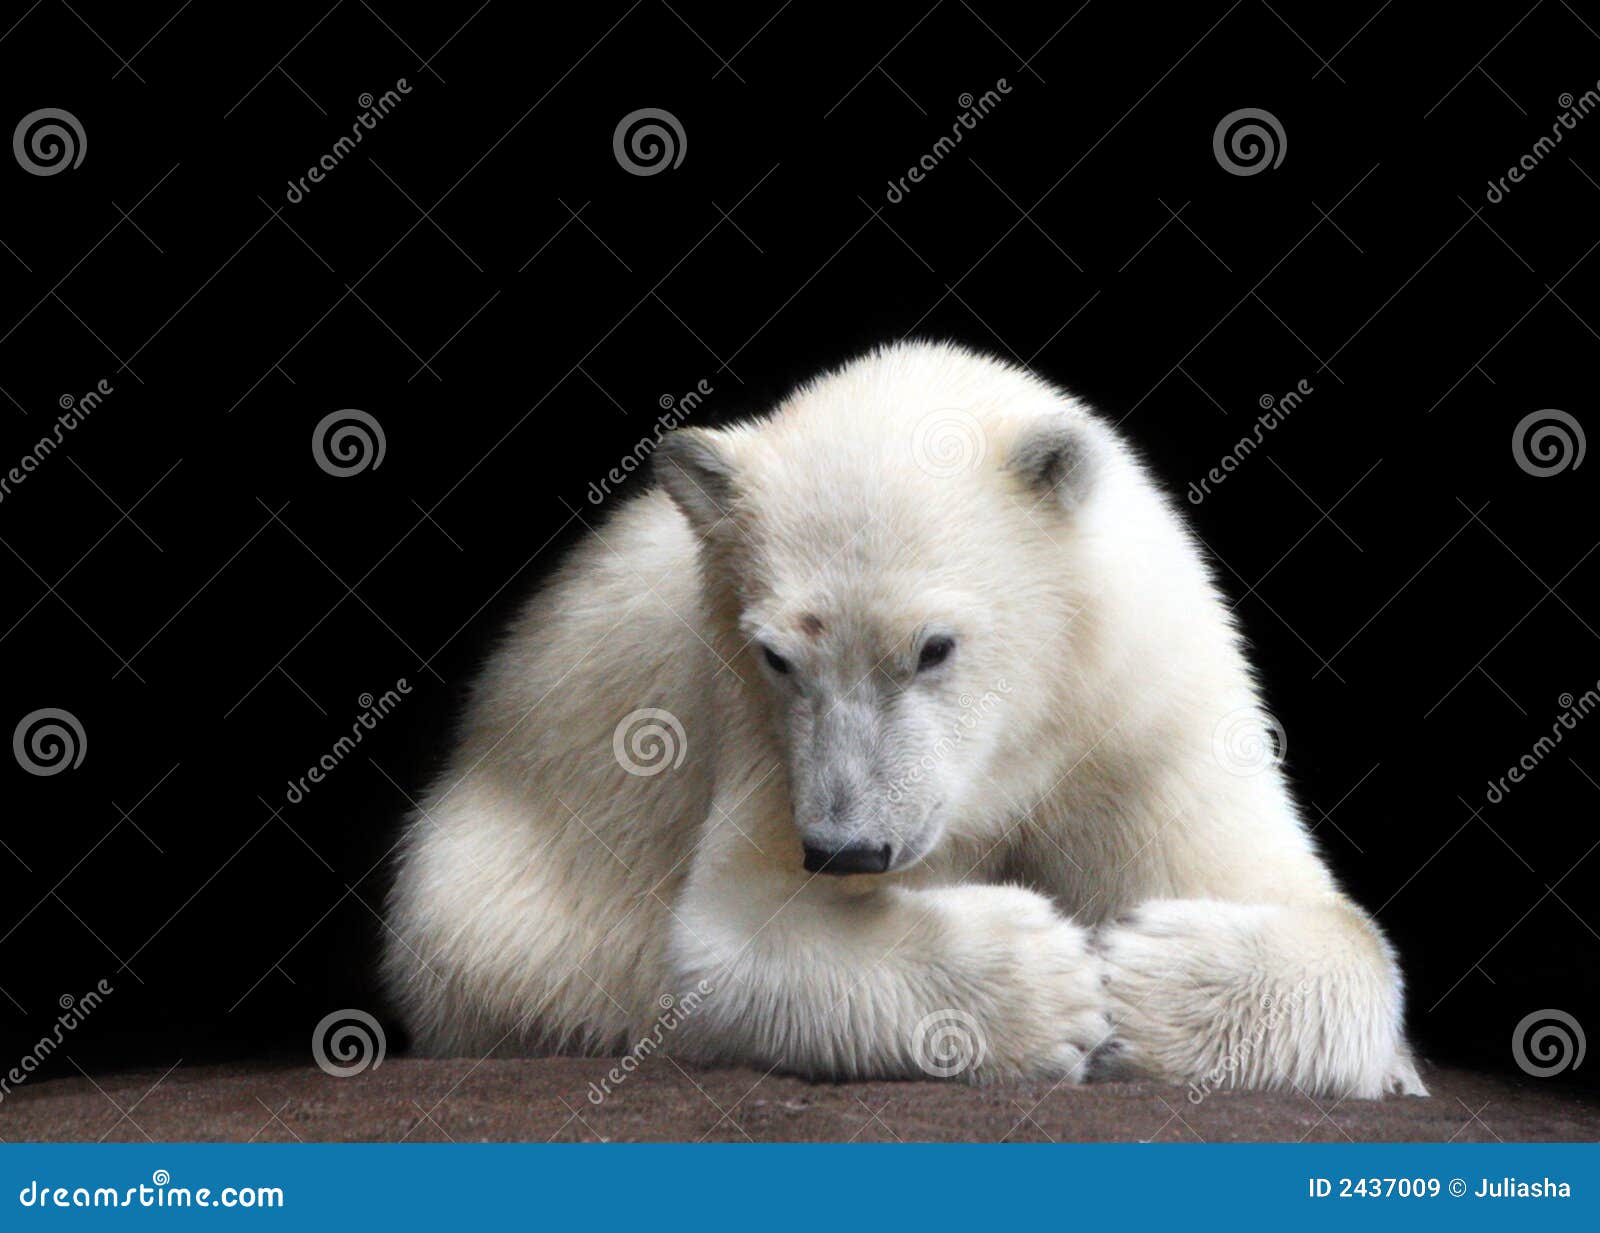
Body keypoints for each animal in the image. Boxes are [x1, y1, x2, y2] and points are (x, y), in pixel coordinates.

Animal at [383, 340, 1427, 1098]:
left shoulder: (1143, 710)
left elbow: (1325, 922)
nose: (845, 847)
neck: (1025, 746)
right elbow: (729, 935)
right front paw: (1052, 985)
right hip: (493, 900)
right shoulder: (758, 732)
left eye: (933, 647)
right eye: (780, 656)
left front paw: (1140, 976)